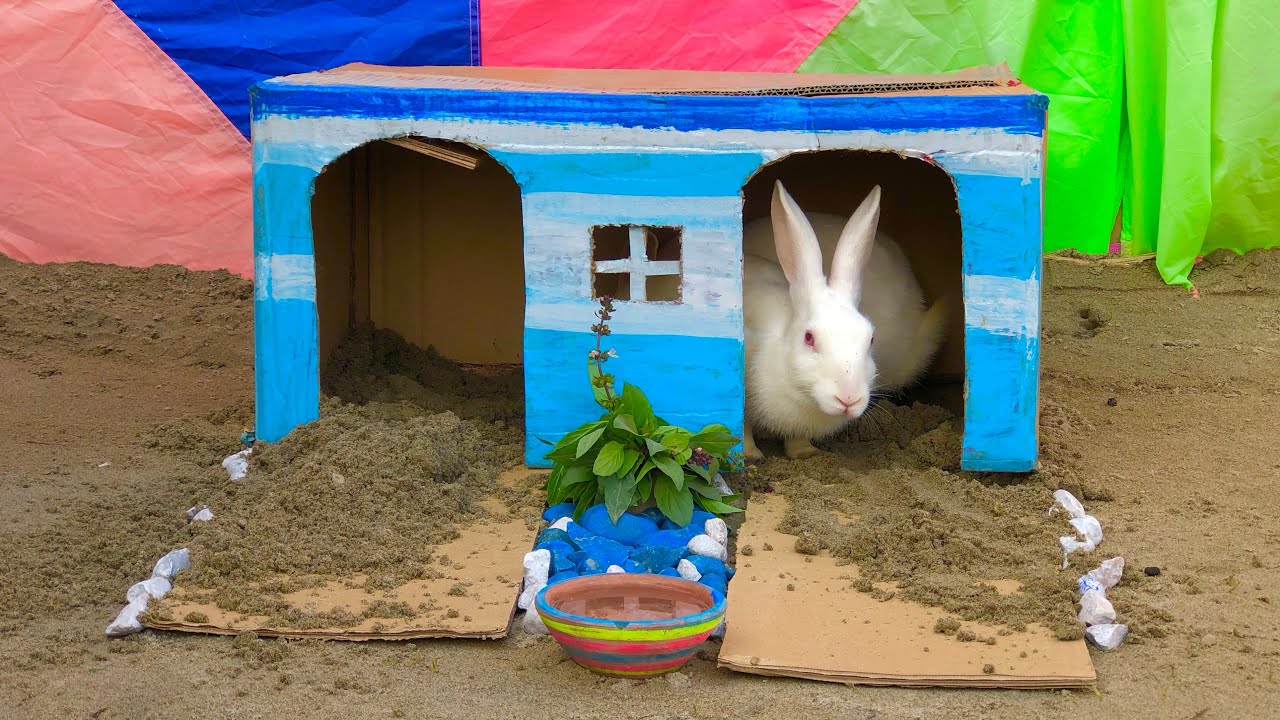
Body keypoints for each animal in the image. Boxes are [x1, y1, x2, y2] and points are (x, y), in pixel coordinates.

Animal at [740, 181, 948, 460]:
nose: (849, 399)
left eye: (870, 340)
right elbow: (743, 427)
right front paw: (750, 455)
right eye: (809, 338)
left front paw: (805, 453)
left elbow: (796, 437)